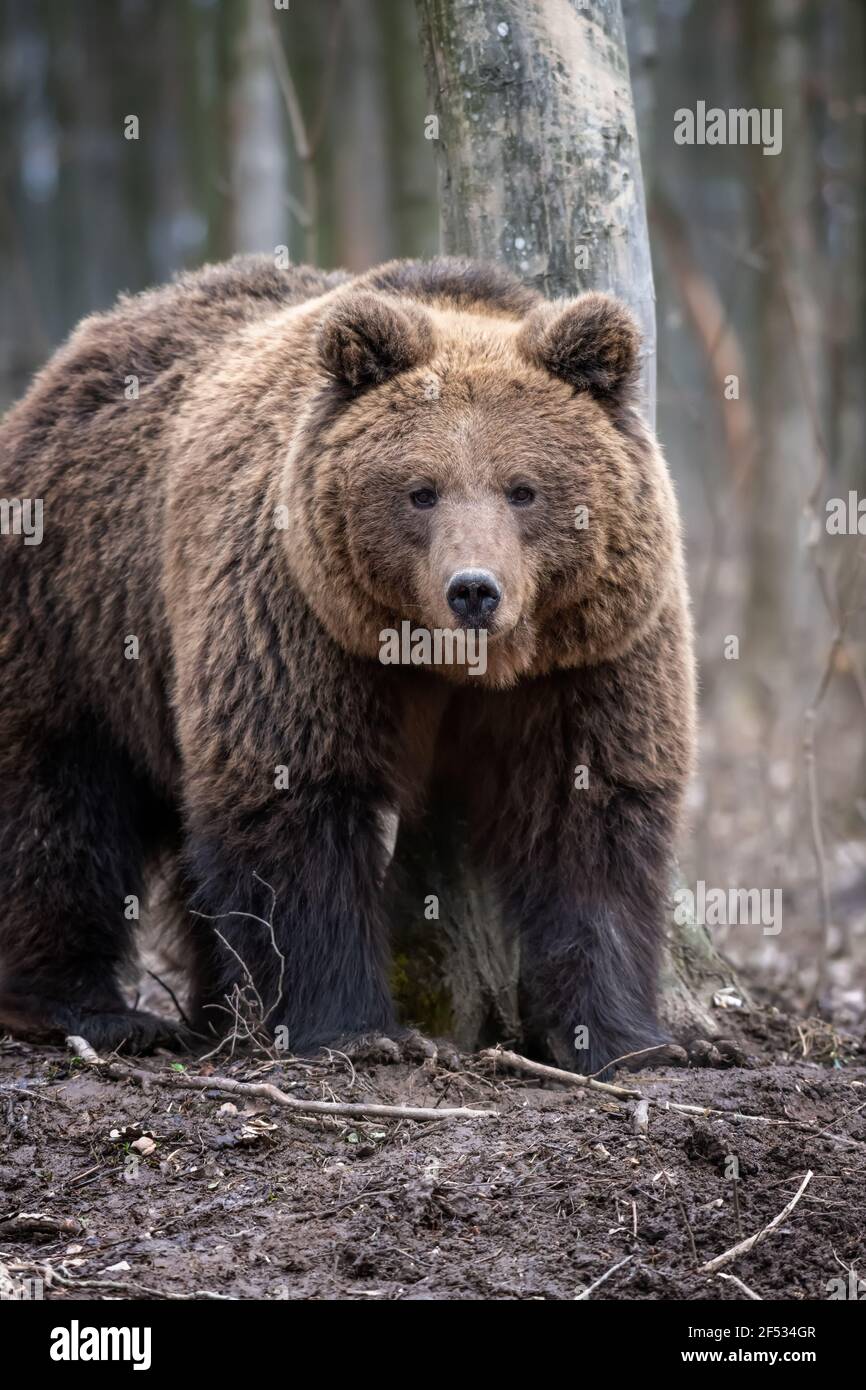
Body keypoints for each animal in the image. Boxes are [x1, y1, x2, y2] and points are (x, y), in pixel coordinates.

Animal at [0, 254, 695, 1075]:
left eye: (524, 489)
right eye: (421, 491)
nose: (474, 590)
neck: (452, 664)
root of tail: (80, 349)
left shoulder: (590, 656)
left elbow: (587, 813)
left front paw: (623, 1039)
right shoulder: (298, 617)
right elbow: (297, 796)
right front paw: (356, 1029)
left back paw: (213, 1013)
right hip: (77, 611)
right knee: (57, 803)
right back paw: (91, 1009)